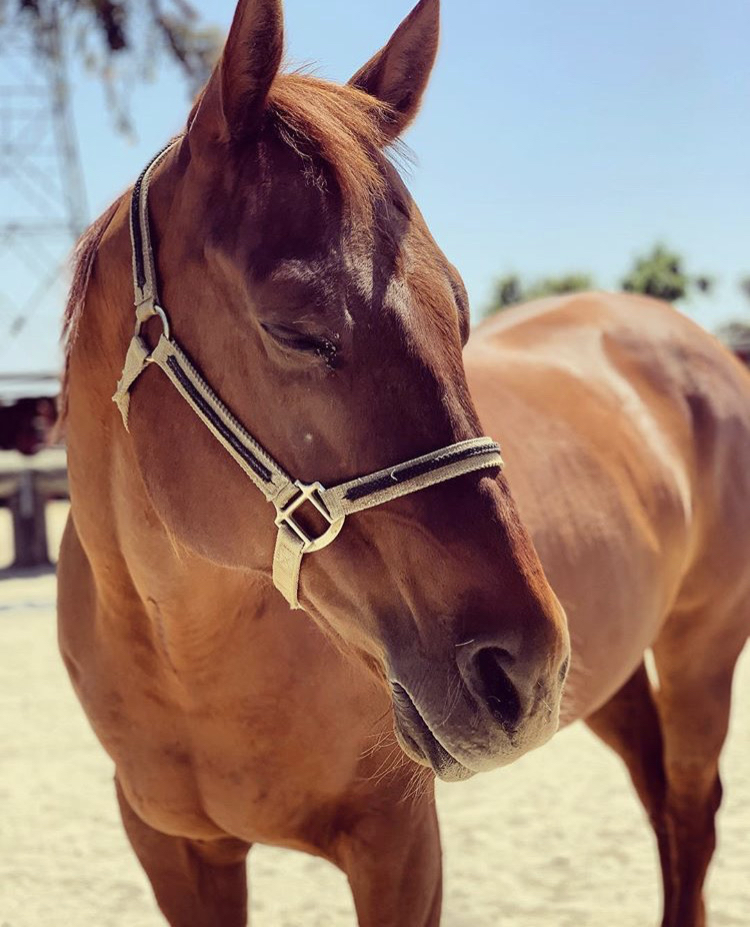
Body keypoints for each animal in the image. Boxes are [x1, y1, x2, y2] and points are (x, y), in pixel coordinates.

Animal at [57, 1, 750, 925]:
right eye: (294, 327)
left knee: (690, 812)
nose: (521, 671)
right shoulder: (174, 849)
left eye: (460, 310)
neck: (186, 659)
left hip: (700, 654)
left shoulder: (399, 844)